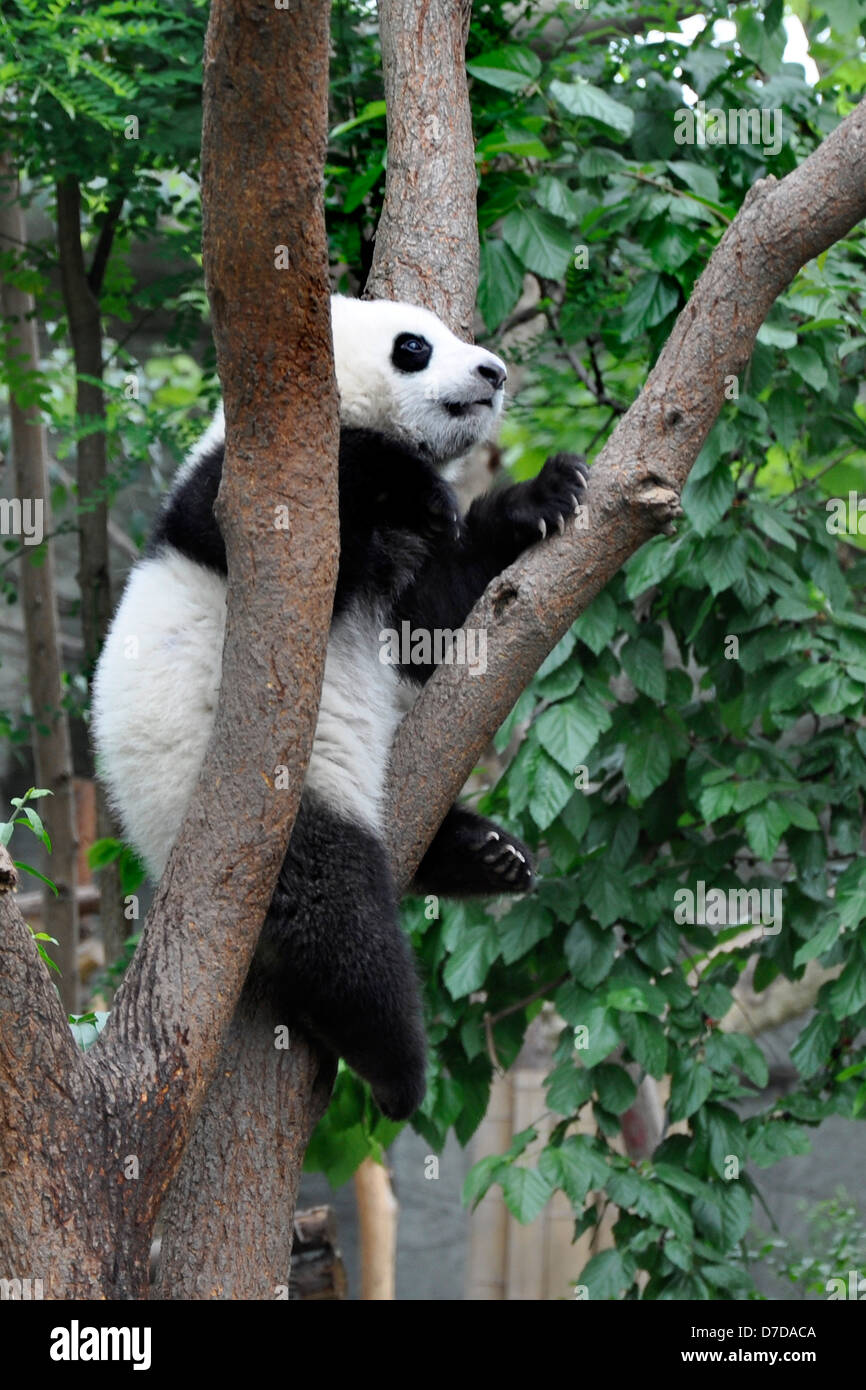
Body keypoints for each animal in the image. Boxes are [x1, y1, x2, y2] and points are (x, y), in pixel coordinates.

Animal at [92, 294, 588, 1120]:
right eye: (414, 347)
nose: (493, 372)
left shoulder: (404, 591)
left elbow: (428, 622)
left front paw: (541, 500)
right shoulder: (241, 498)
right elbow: (278, 522)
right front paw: (417, 481)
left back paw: (489, 854)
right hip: (271, 808)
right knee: (339, 924)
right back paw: (396, 1069)